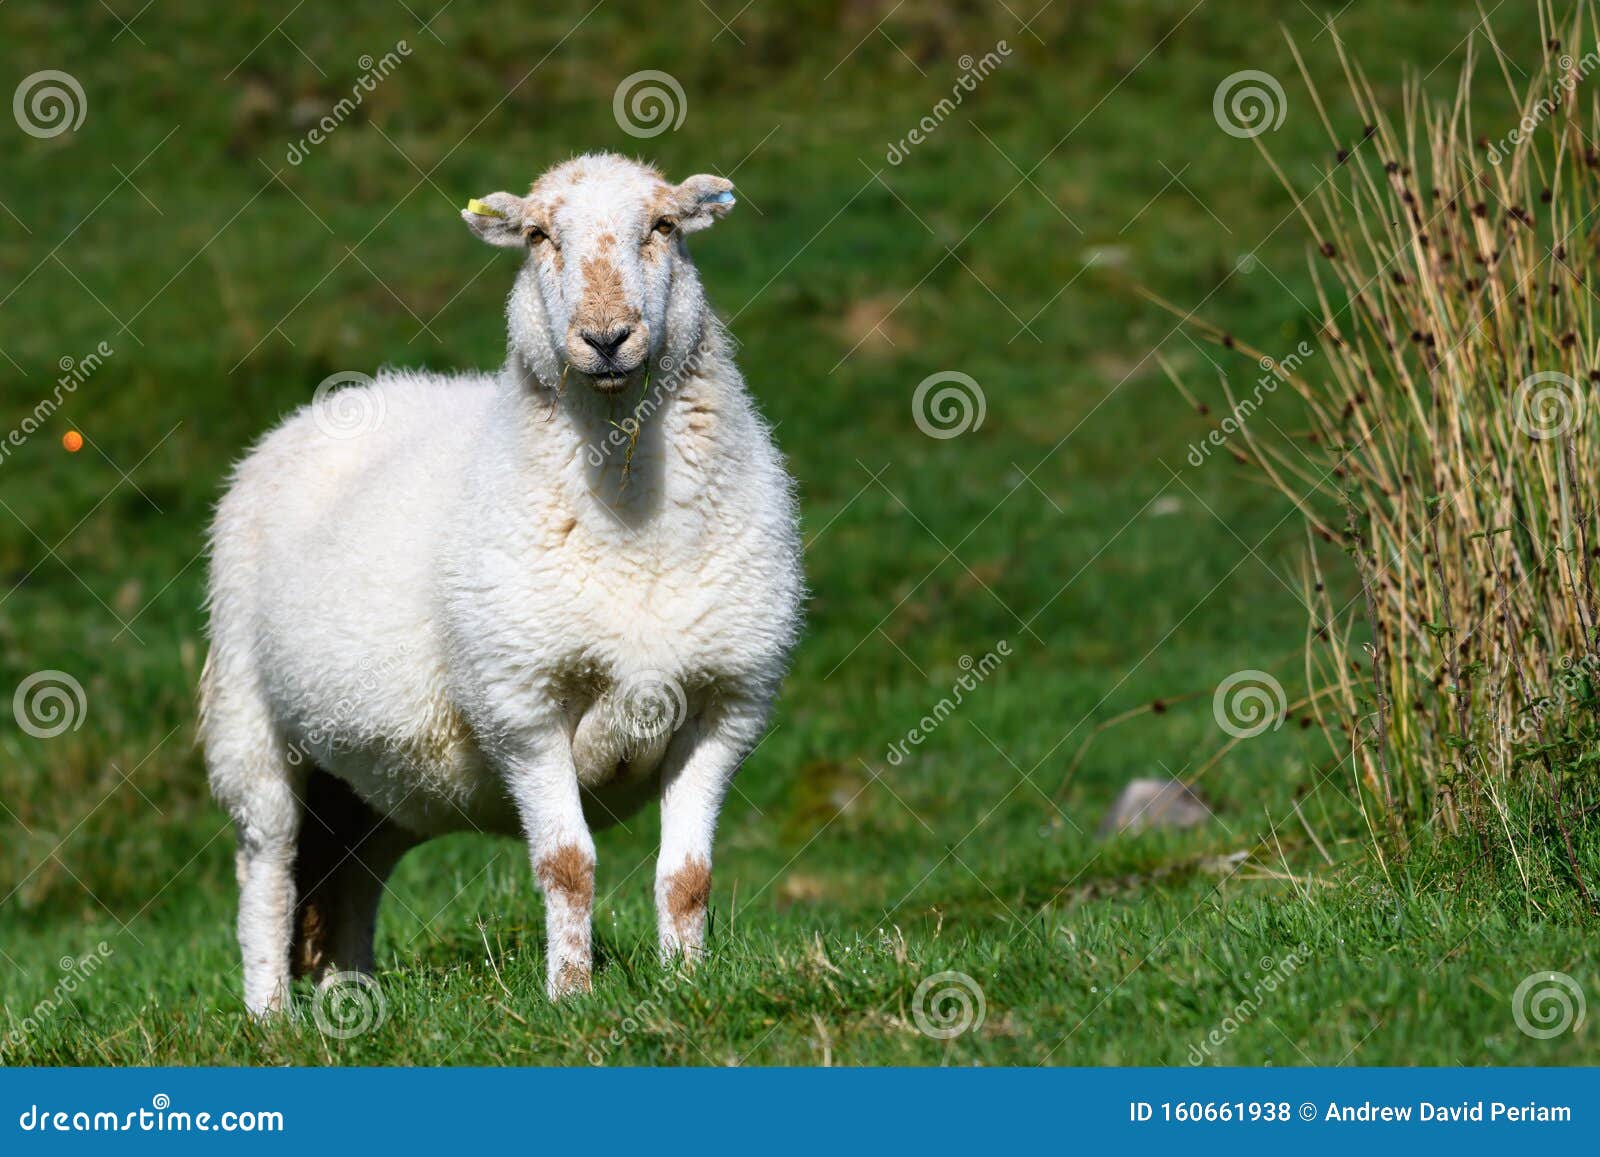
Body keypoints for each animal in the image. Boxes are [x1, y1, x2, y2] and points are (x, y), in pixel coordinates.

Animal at [200, 153, 804, 1015]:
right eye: (538, 235)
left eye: (663, 226)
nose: (606, 337)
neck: (631, 516)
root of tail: (337, 402)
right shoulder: (523, 705)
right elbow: (568, 865)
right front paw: (570, 997)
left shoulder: (726, 706)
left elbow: (688, 876)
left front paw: (688, 987)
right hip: (249, 721)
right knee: (268, 872)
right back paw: (271, 1017)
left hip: (381, 777)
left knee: (350, 875)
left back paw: (353, 1001)